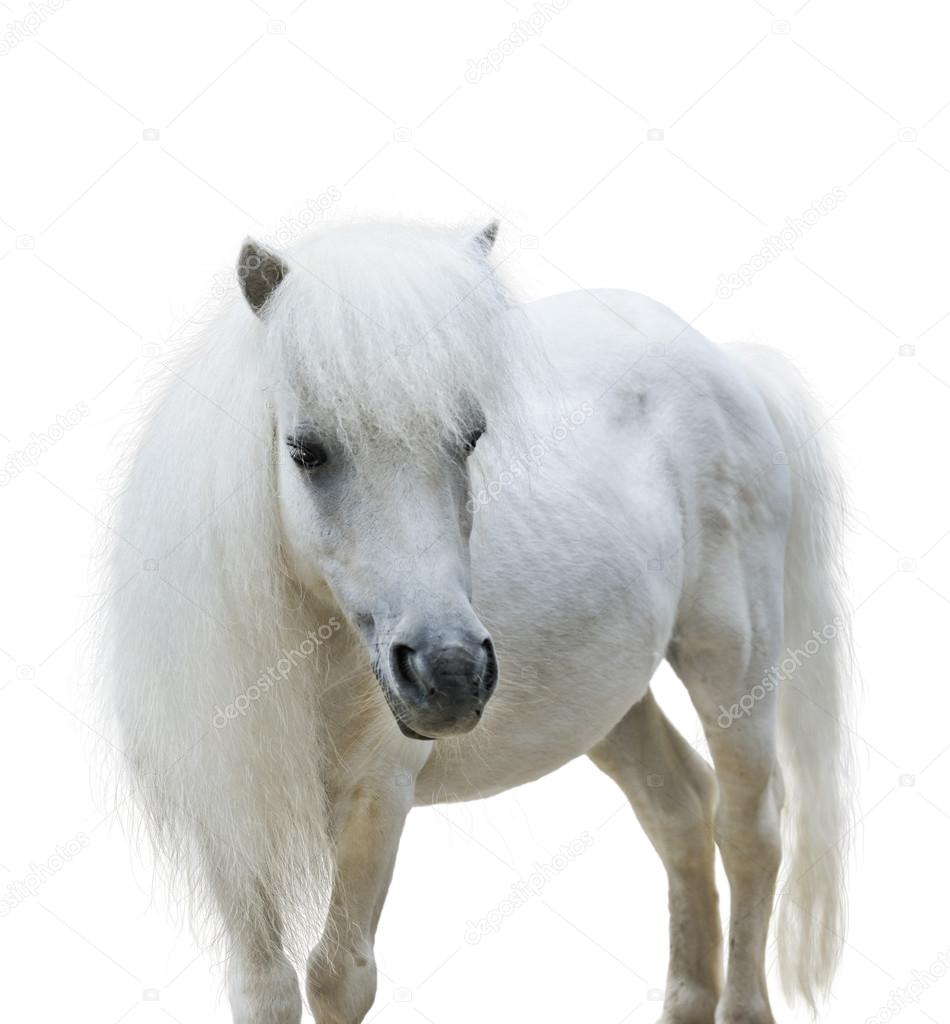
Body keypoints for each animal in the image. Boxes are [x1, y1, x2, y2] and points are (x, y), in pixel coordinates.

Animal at [103, 218, 853, 1024]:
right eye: (305, 449)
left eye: (468, 439)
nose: (451, 673)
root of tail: (726, 361)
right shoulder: (227, 817)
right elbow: (263, 988)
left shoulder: (379, 798)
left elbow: (339, 978)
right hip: (609, 703)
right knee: (680, 809)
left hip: (733, 662)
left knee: (749, 831)